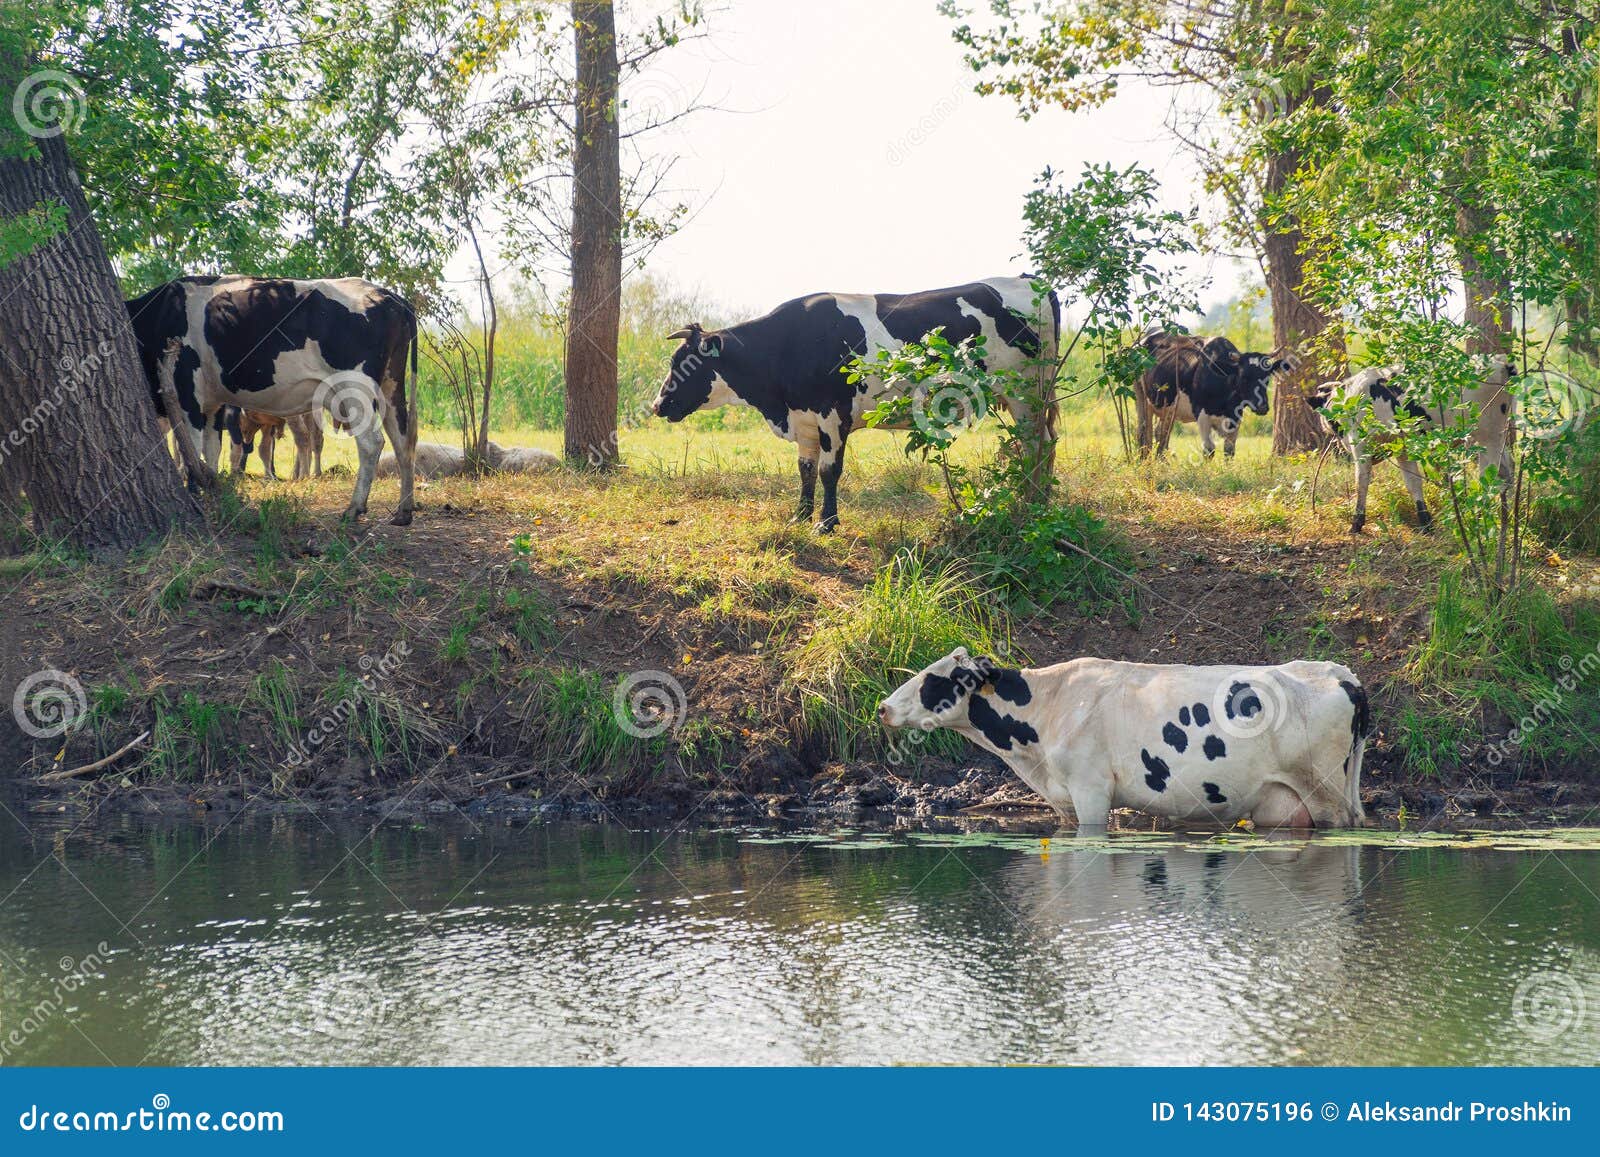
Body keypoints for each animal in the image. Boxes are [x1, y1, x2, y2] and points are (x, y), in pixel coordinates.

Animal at [125, 275, 418, 524]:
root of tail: (389, 295)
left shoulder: (187, 394)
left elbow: (191, 451)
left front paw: (196, 494)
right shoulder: (213, 404)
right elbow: (211, 450)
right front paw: (211, 493)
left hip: (355, 385)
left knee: (372, 442)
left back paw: (354, 508)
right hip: (391, 385)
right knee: (403, 440)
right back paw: (403, 512)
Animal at [650, 277, 1060, 532]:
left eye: (686, 363)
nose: (657, 405)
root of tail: (1028, 279)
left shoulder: (833, 415)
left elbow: (829, 471)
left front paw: (826, 523)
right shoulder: (804, 420)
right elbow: (805, 470)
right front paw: (800, 517)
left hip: (1026, 392)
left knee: (1034, 445)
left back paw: (1031, 502)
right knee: (1045, 443)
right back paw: (1039, 499)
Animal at [878, 647, 1369, 830]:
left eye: (934, 679)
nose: (883, 707)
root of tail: (1339, 672)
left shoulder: (1091, 789)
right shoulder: (1064, 800)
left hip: (1325, 793)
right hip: (1287, 803)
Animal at [1136, 331, 1298, 458]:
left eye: (1267, 378)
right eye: (1244, 377)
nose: (1262, 406)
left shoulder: (1235, 416)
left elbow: (1229, 450)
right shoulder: (1202, 415)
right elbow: (1209, 450)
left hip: (1168, 409)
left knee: (1161, 434)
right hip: (1141, 398)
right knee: (1144, 433)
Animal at [1306, 357, 1513, 533]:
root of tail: (1502, 364)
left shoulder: (1360, 445)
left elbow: (1361, 481)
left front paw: (1356, 523)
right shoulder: (1402, 448)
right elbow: (1413, 482)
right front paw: (1425, 522)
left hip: (1487, 436)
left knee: (1491, 476)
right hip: (1497, 437)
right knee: (1507, 473)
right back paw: (1506, 518)